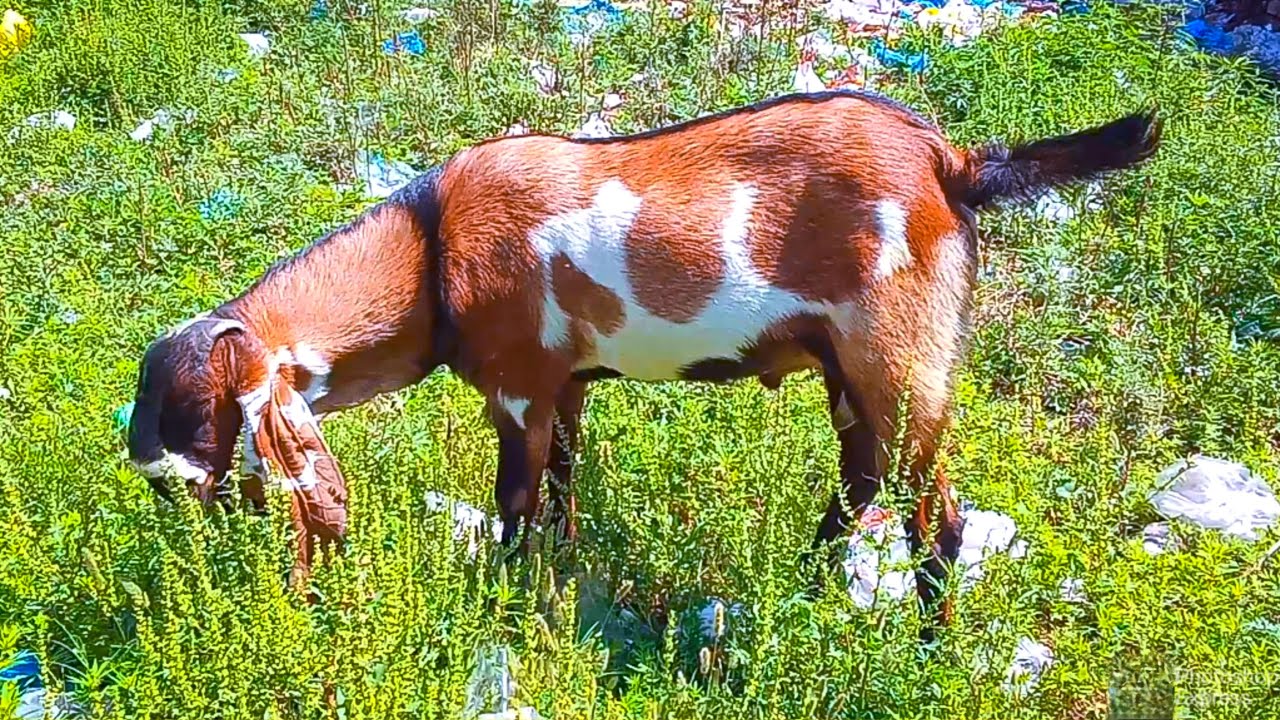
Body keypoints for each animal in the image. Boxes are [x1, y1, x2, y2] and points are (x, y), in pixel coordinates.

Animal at [126, 91, 1160, 634]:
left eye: (193, 454)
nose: (200, 568)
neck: (430, 250)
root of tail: (952, 162)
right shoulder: (566, 389)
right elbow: (564, 489)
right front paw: (563, 581)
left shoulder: (518, 388)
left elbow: (516, 502)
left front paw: (508, 602)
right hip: (847, 367)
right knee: (862, 479)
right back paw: (792, 591)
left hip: (901, 359)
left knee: (932, 516)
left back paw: (929, 650)